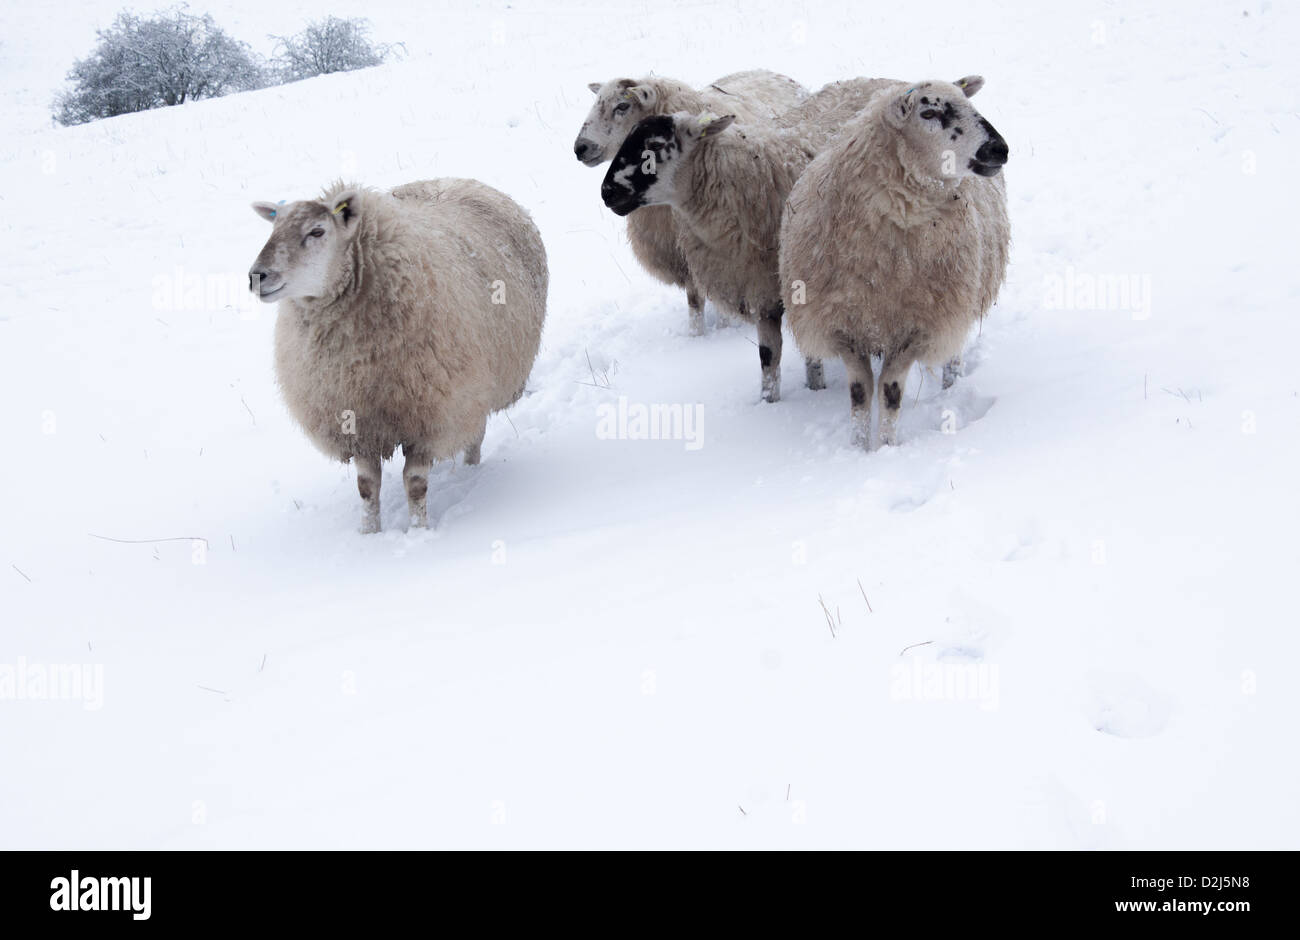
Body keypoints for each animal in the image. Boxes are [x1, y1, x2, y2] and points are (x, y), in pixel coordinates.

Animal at [248, 179, 547, 533]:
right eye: (274, 228)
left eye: (317, 231)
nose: (257, 276)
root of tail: (464, 180)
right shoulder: (358, 420)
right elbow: (366, 487)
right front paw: (369, 533)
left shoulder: (431, 417)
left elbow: (415, 483)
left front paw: (418, 530)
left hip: (476, 389)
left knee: (476, 434)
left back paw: (472, 470)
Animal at [574, 70, 808, 335]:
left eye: (622, 106)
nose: (580, 148)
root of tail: (769, 72)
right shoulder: (687, 254)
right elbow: (695, 301)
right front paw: (696, 334)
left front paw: (717, 330)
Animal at [599, 78, 893, 403]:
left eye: (655, 146)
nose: (606, 192)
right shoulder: (759, 289)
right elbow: (768, 356)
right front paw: (769, 402)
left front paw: (812, 390)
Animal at [779, 76, 1010, 449]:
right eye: (929, 113)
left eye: (970, 104)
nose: (999, 149)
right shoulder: (842, 325)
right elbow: (861, 391)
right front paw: (859, 445)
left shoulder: (919, 327)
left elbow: (890, 390)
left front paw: (886, 447)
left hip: (961, 298)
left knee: (953, 353)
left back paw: (951, 385)